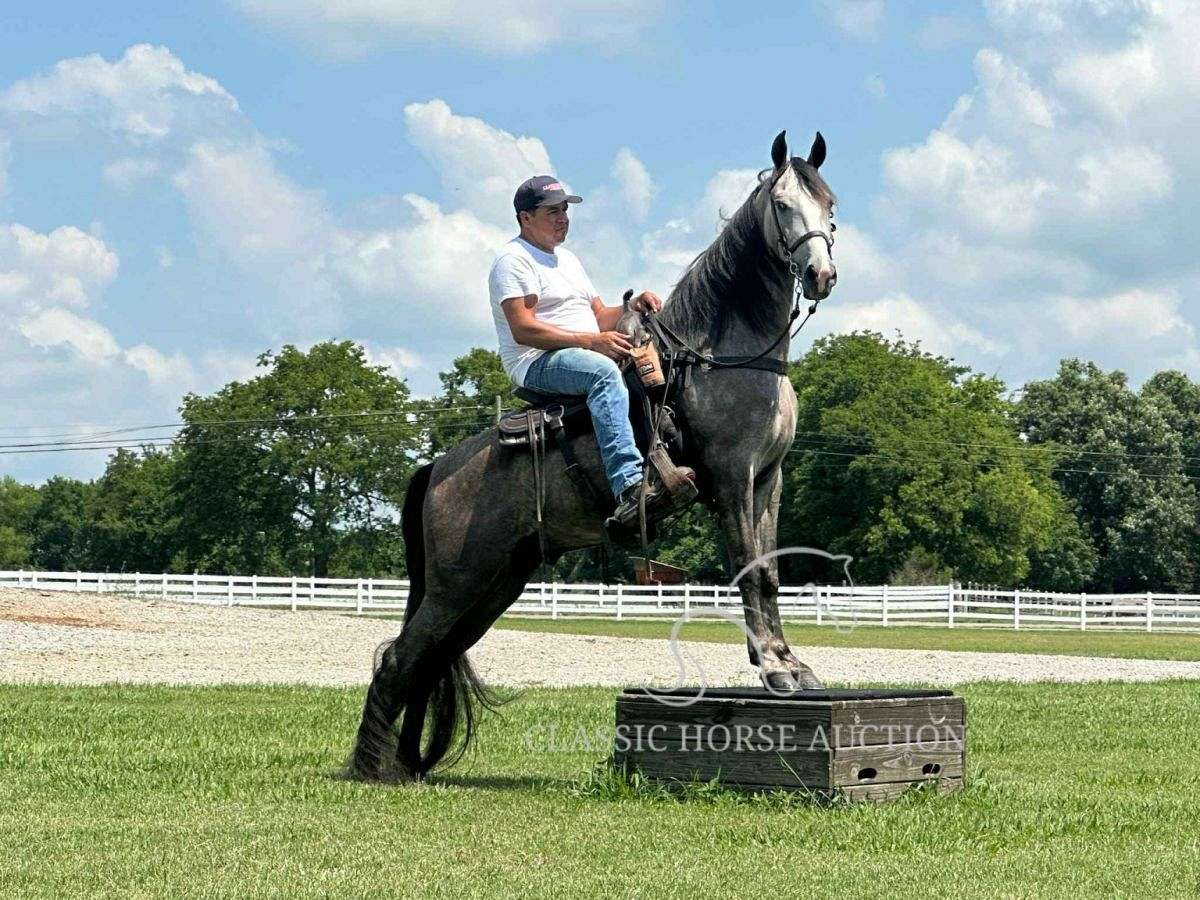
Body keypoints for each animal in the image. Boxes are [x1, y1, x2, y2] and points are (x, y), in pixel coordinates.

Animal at [348, 130, 838, 782]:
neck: (722, 359)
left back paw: (405, 766)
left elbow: (772, 571)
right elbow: (751, 570)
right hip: (458, 582)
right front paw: (777, 671)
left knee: (428, 658)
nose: (820, 273)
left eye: (829, 204)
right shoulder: (734, 478)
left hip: (494, 582)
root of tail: (439, 470)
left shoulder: (769, 479)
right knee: (400, 659)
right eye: (783, 205)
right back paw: (370, 768)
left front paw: (791, 664)